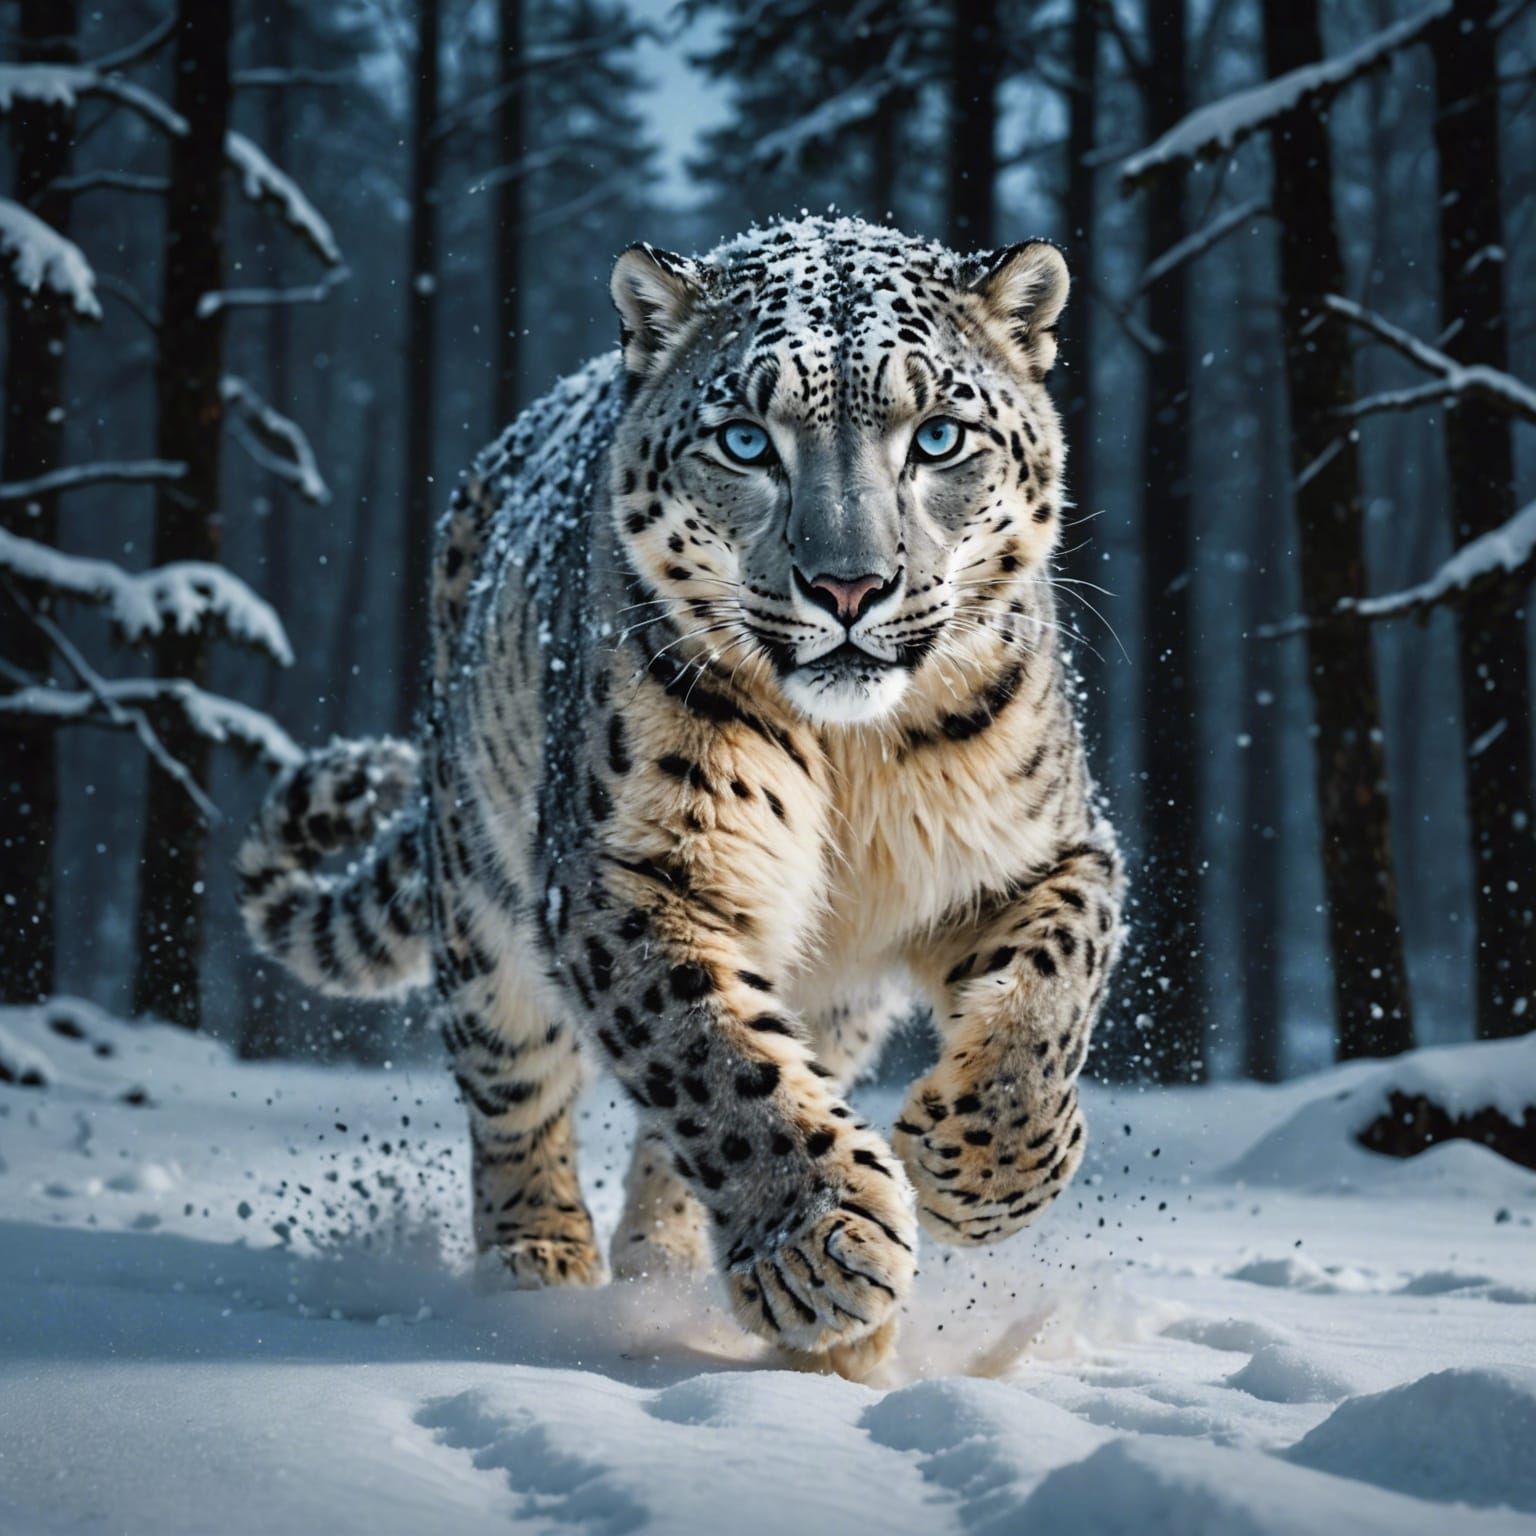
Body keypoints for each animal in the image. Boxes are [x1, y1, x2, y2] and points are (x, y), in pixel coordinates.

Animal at [237, 214, 1125, 1379]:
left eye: (937, 437)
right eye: (747, 441)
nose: (848, 586)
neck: (855, 761)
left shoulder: (1046, 847)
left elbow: (1050, 987)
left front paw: (981, 1166)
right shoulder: (631, 871)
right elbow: (710, 1055)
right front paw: (823, 1238)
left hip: (838, 995)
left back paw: (680, 1272)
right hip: (482, 910)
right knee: (515, 1086)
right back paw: (542, 1267)